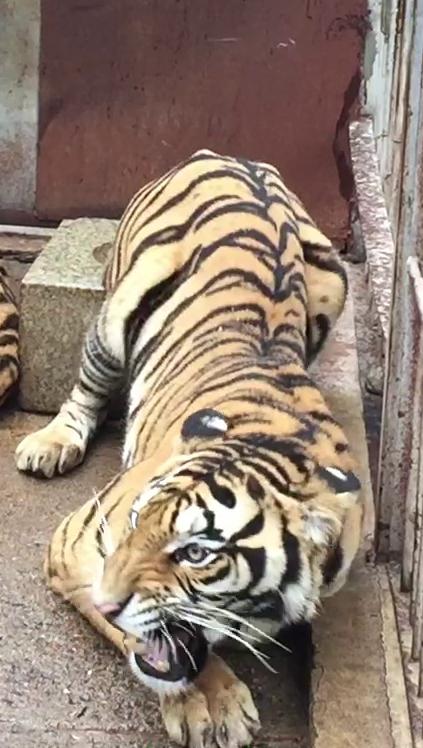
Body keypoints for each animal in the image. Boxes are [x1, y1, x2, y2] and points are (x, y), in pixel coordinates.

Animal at [15, 150, 362, 748]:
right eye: (134, 523)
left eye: (197, 553)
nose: (106, 600)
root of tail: (231, 156)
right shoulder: (79, 542)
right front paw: (211, 703)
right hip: (118, 312)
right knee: (88, 383)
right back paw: (52, 443)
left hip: (332, 280)